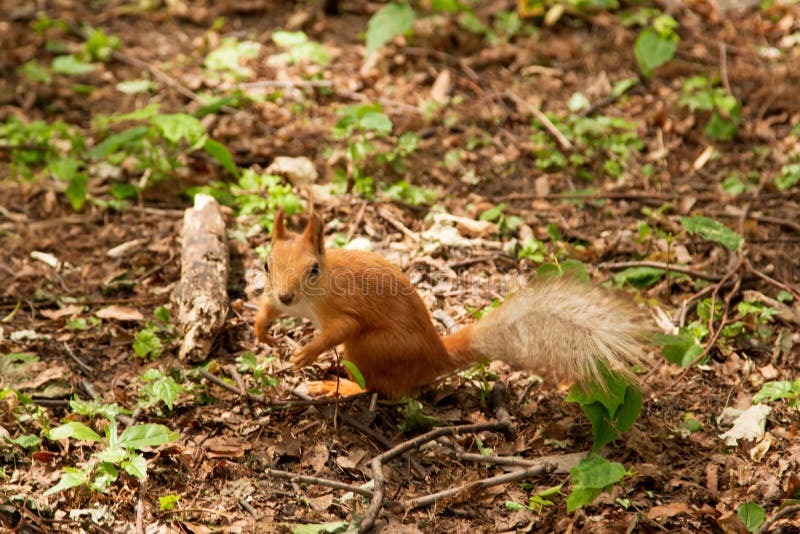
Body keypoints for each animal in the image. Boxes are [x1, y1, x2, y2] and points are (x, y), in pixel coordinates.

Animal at [254, 208, 645, 398]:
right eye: (266, 264)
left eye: (313, 270)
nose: (287, 294)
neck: (309, 301)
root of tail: (435, 356)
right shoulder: (282, 300)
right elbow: (268, 307)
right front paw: (261, 330)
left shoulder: (342, 311)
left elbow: (340, 328)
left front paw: (306, 353)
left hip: (370, 347)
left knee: (377, 387)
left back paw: (340, 388)